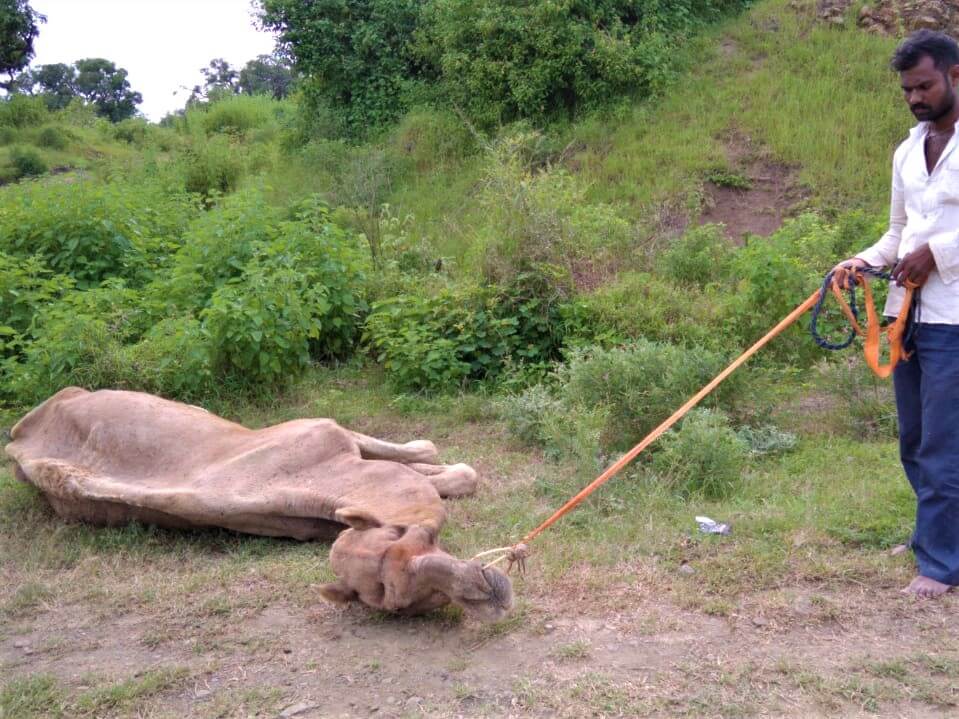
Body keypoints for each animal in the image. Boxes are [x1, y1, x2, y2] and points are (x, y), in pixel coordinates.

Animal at [5, 387, 512, 619]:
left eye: (404, 539)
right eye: (396, 599)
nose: (485, 592)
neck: (313, 481)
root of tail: (21, 431)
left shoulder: (325, 432)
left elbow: (424, 455)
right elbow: (449, 474)